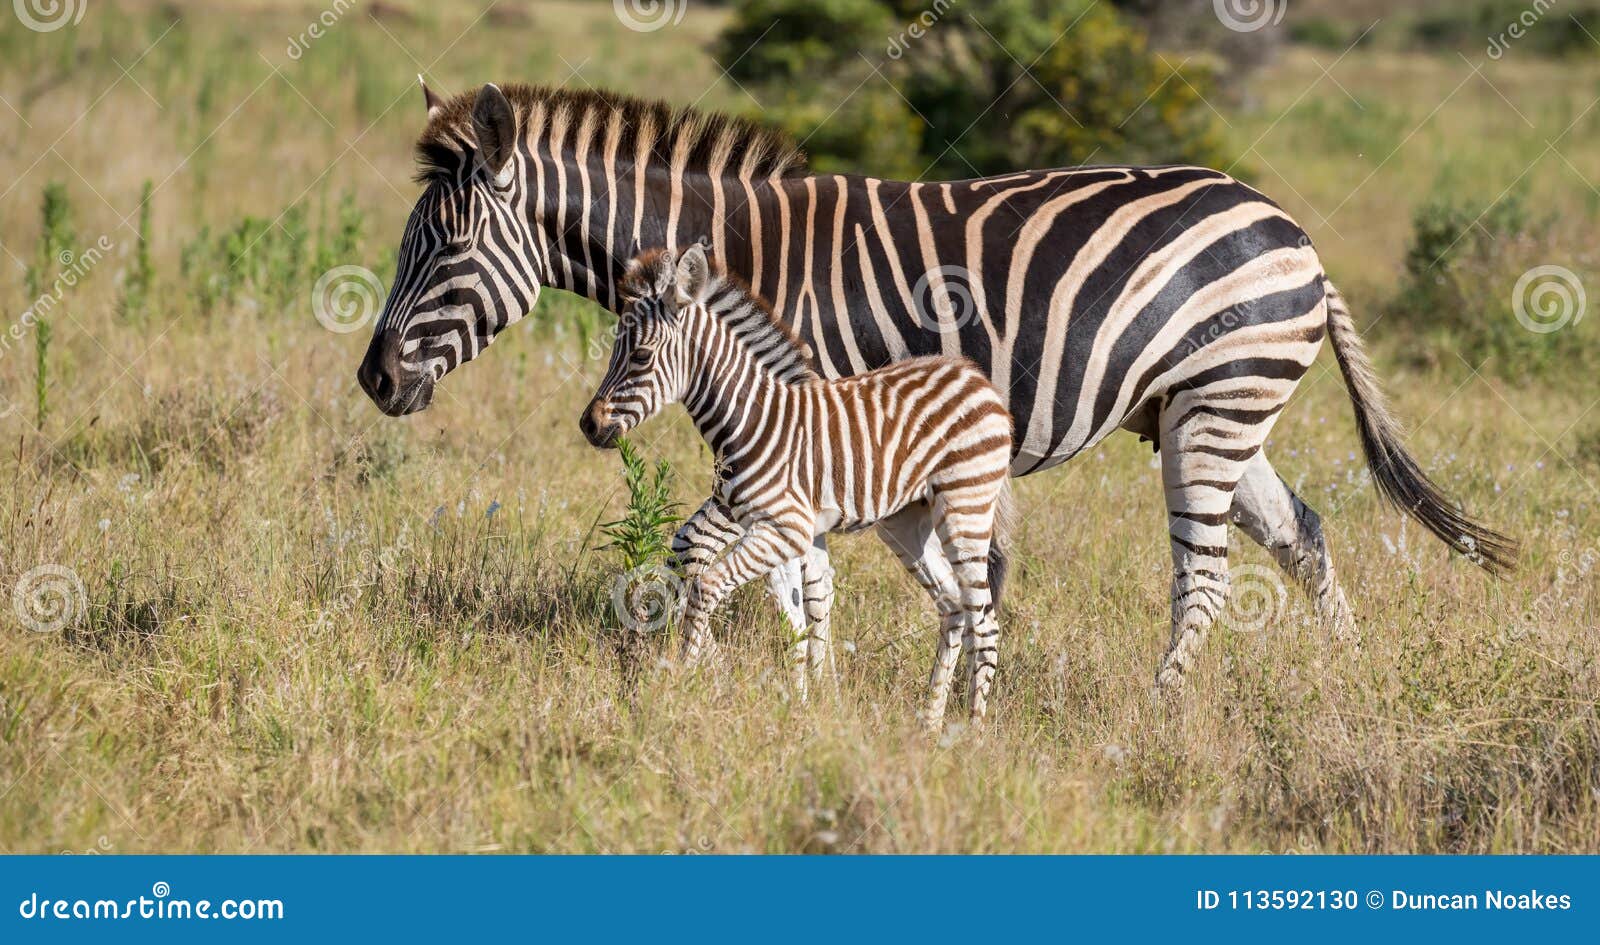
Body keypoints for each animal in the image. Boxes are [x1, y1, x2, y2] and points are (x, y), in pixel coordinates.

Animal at [581, 242, 1014, 726]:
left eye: (640, 356)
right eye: (613, 350)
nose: (588, 425)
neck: (751, 420)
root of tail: (975, 377)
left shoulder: (784, 529)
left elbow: (708, 589)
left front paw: (682, 686)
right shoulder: (775, 535)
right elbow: (796, 628)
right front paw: (801, 711)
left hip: (965, 508)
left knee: (985, 622)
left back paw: (971, 730)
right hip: (907, 522)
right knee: (954, 606)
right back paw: (930, 721)